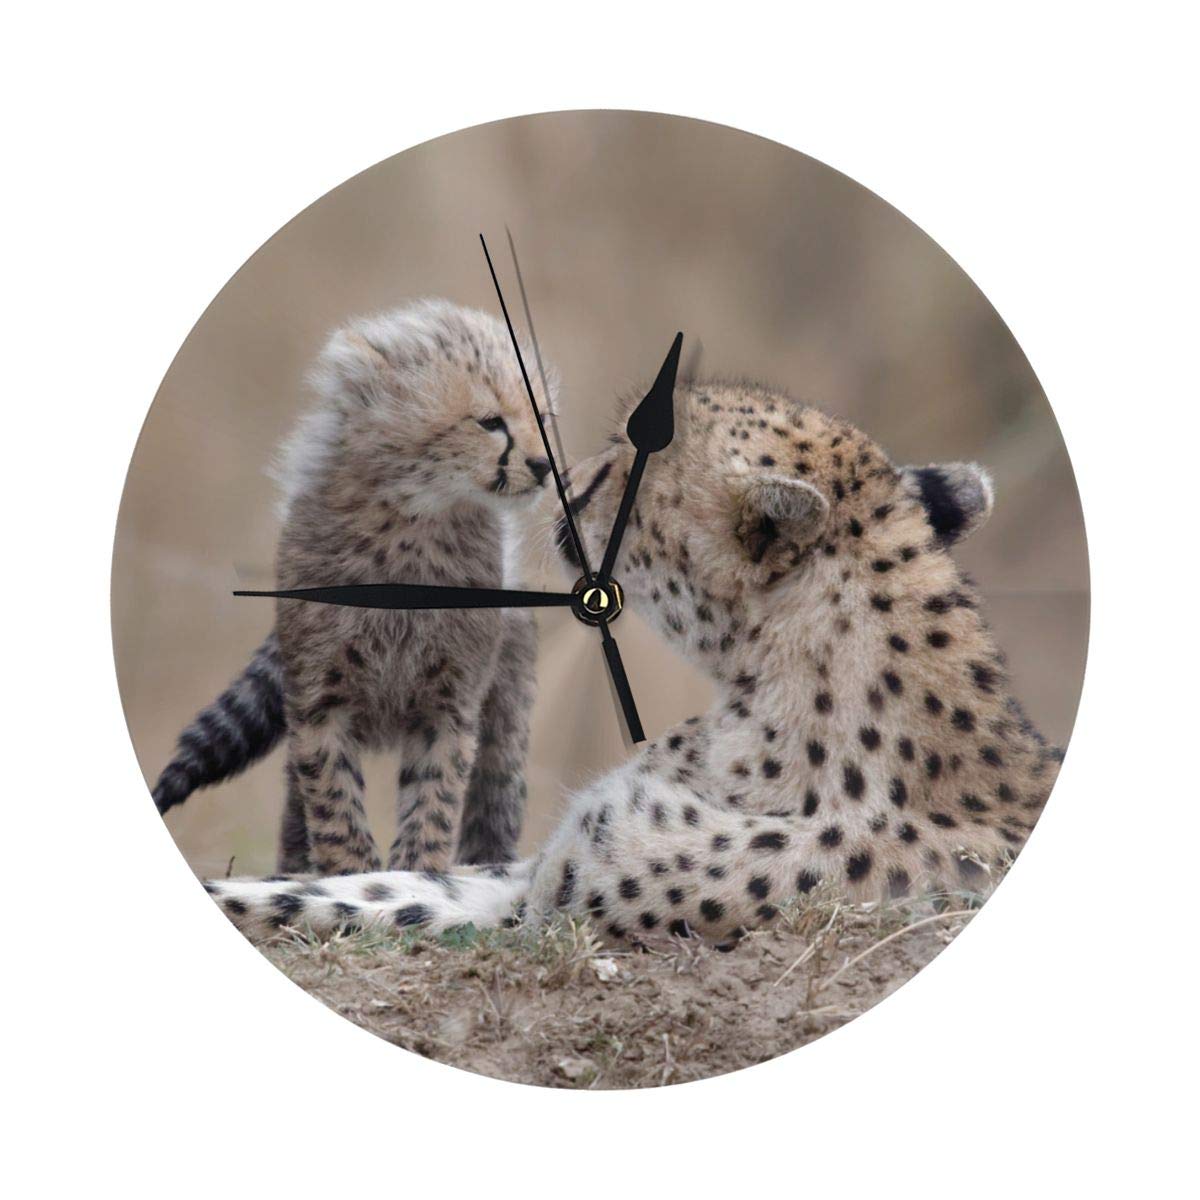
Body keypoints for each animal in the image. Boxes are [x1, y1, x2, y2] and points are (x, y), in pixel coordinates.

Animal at [153, 299, 555, 876]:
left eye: (543, 418)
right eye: (490, 422)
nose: (543, 466)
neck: (414, 520)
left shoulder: (450, 707)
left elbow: (434, 800)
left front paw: (416, 875)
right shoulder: (319, 703)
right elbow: (333, 802)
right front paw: (349, 875)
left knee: (496, 793)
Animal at [204, 379, 1063, 944]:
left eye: (630, 455)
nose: (561, 476)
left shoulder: (548, 909)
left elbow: (333, 898)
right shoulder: (536, 870)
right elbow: (351, 886)